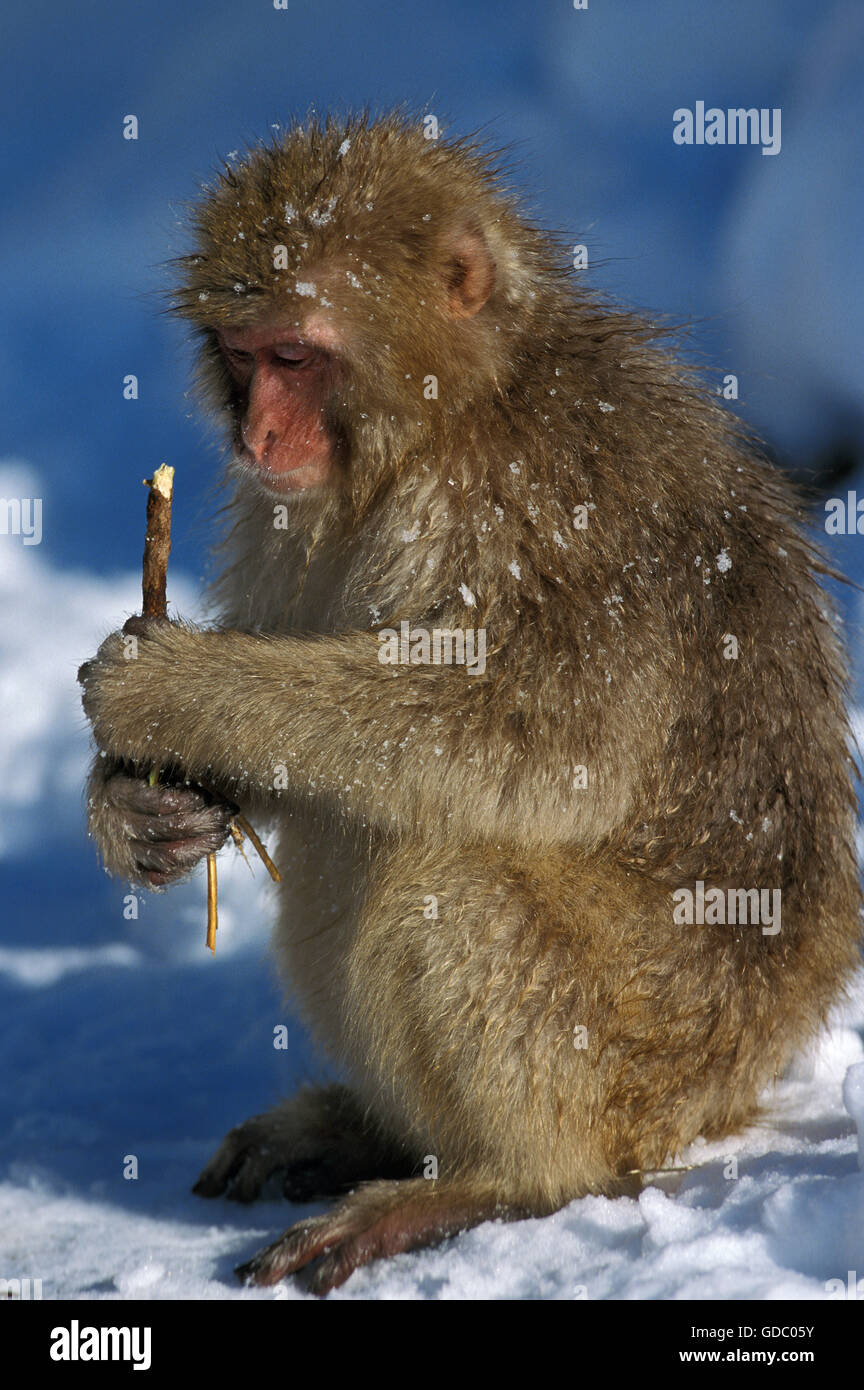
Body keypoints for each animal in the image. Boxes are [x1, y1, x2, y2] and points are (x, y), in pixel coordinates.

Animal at [79, 113, 862, 1296]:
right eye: (242, 356)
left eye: (296, 357)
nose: (258, 441)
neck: (446, 421)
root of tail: (745, 1074)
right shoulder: (296, 513)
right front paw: (142, 809)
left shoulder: (542, 503)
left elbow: (538, 742)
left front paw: (176, 692)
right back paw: (371, 1132)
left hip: (646, 1045)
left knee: (447, 868)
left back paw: (499, 1179)